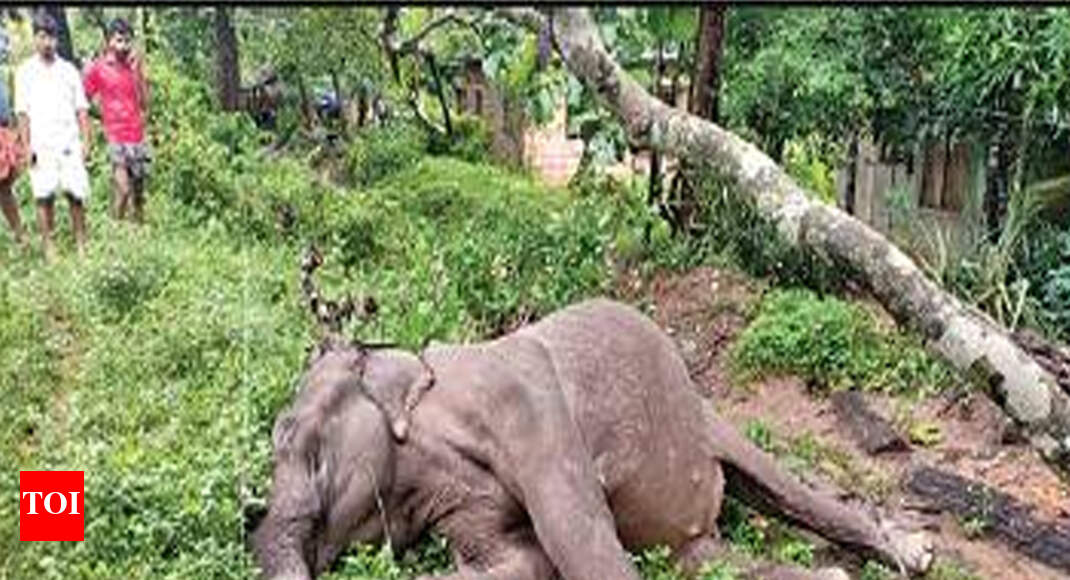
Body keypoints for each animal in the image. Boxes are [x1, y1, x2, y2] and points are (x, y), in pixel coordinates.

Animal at [253, 298, 932, 580]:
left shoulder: (525, 404)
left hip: (703, 413)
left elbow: (578, 547)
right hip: (688, 540)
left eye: (309, 451)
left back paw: (915, 555)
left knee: (778, 483)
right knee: (705, 561)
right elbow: (519, 561)